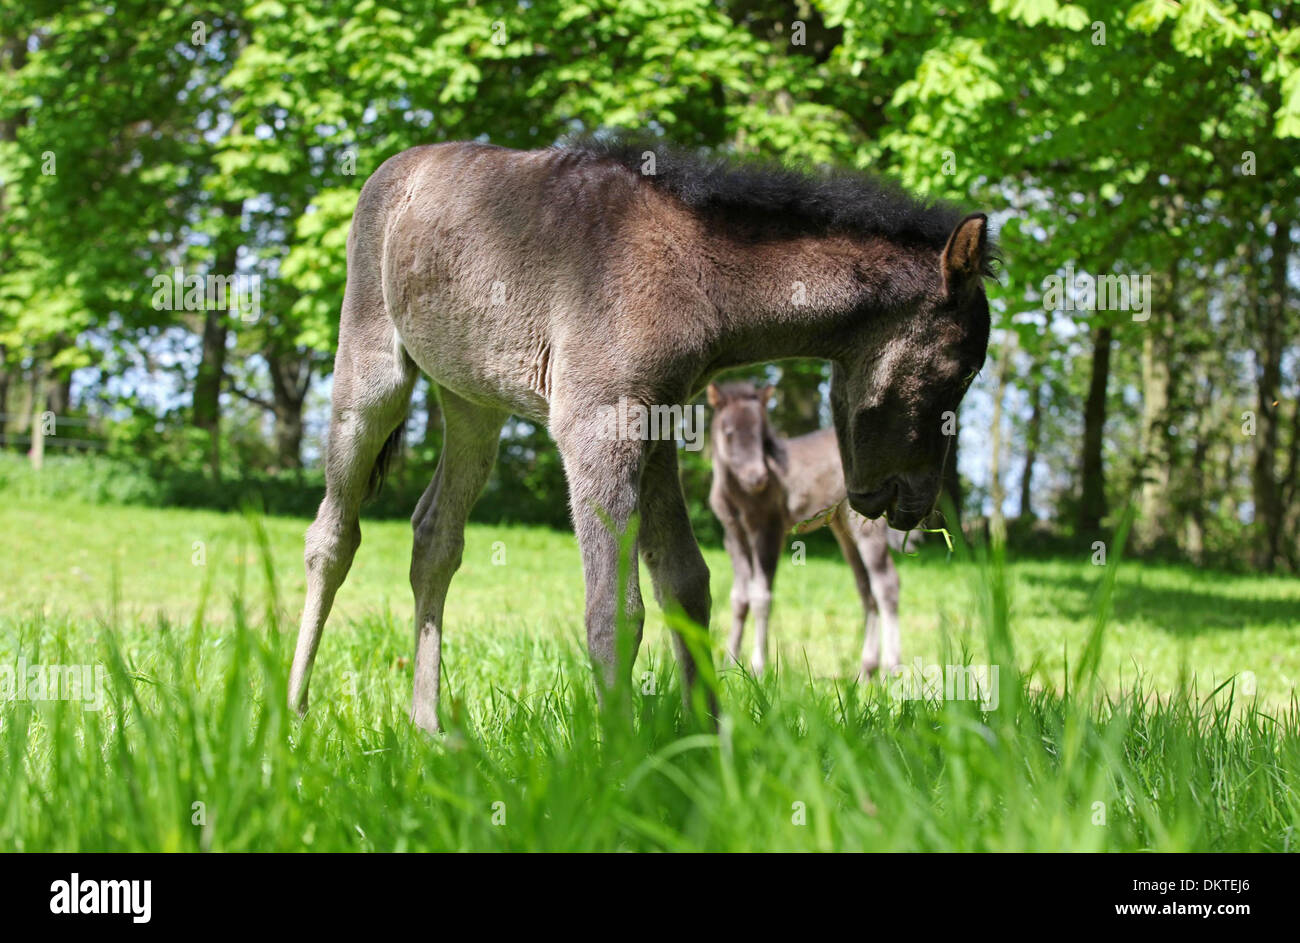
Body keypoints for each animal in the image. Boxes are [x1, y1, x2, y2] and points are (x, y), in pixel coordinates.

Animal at [707, 380, 906, 678]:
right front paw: (729, 665)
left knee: (886, 584)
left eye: (762, 433)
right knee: (866, 588)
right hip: (843, 527)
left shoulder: (769, 529)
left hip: (868, 527)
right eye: (729, 432)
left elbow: (761, 596)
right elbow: (739, 598)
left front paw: (758, 667)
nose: (758, 478)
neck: (736, 494)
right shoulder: (733, 535)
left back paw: (891, 668)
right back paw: (865, 672)